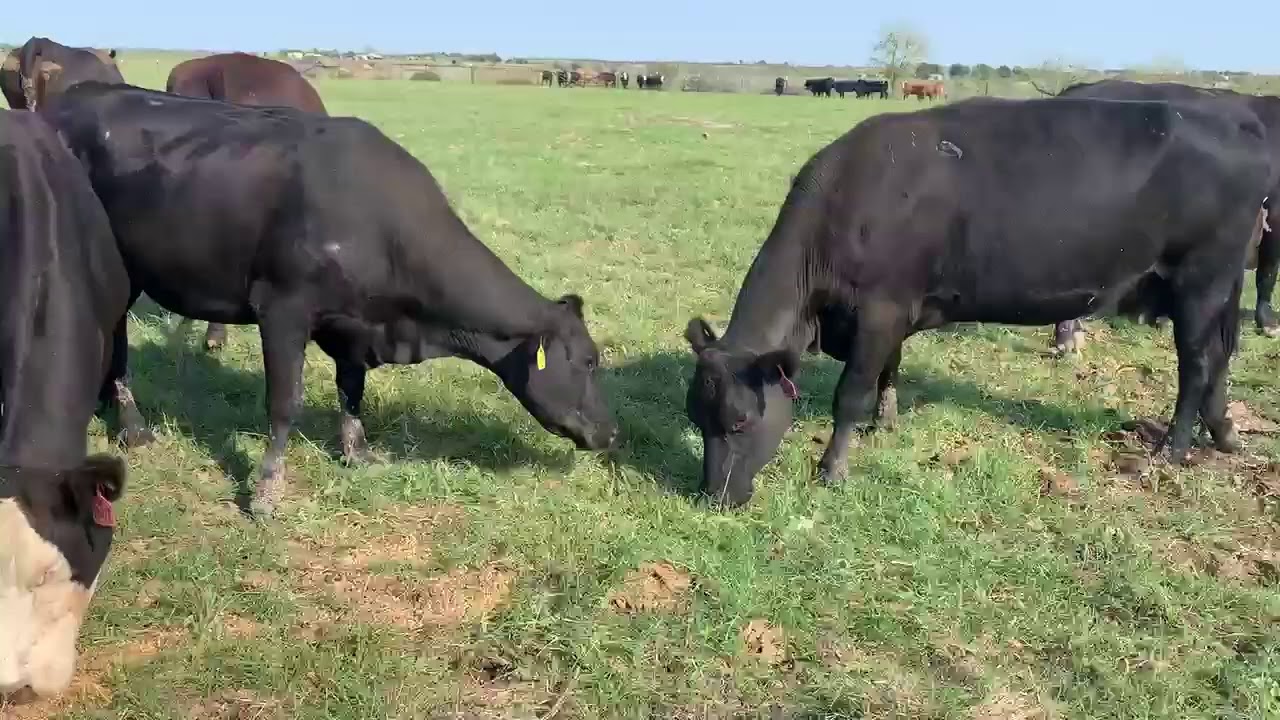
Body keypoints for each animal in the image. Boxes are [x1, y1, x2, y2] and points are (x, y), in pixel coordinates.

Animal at [41, 83, 620, 518]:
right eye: (589, 361)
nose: (611, 432)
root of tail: (69, 98)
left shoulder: (353, 326)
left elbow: (352, 390)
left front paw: (357, 453)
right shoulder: (282, 310)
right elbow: (284, 404)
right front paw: (267, 492)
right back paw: (134, 426)